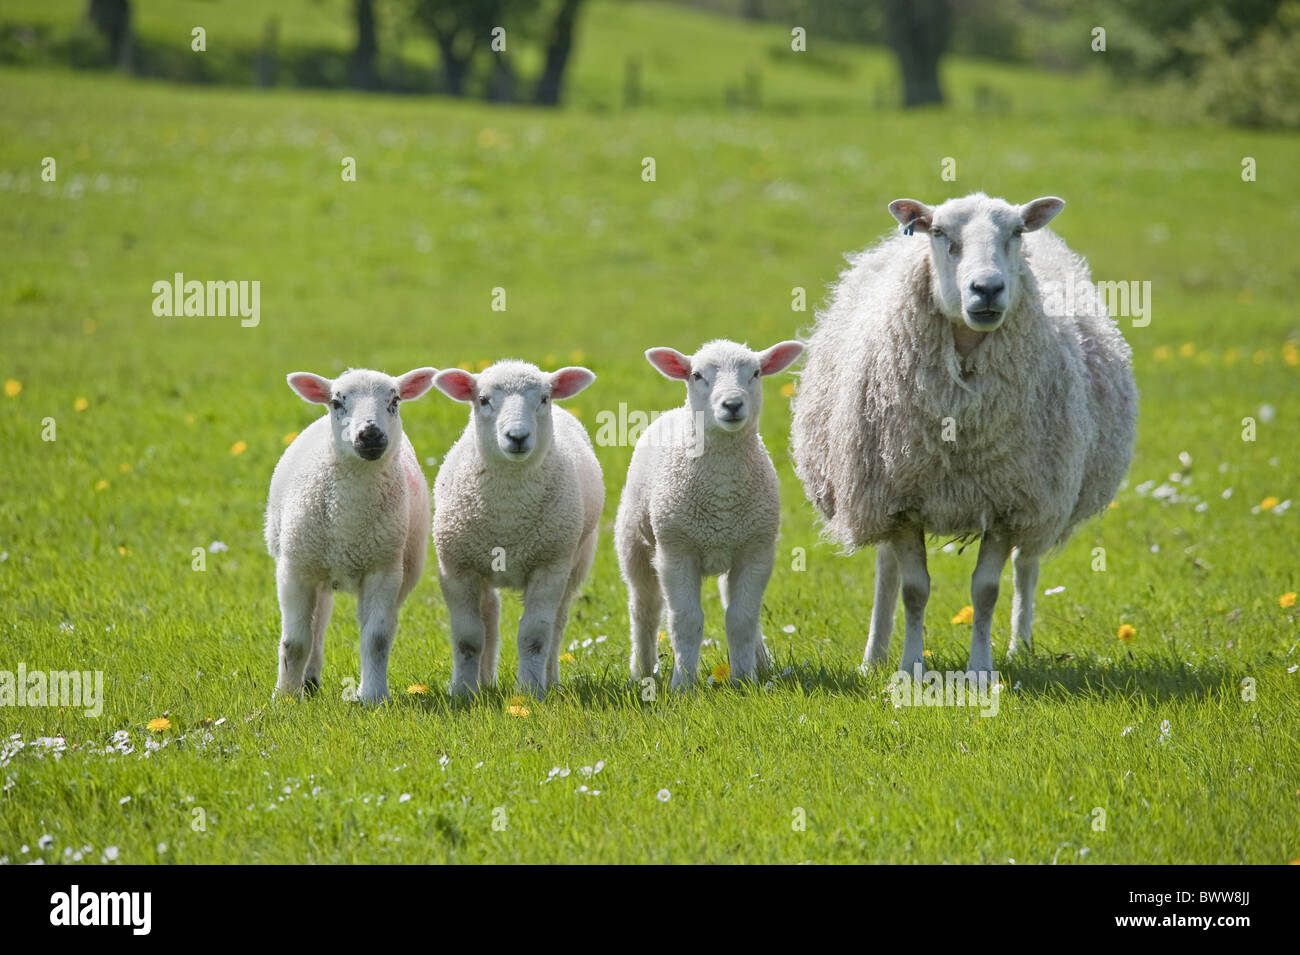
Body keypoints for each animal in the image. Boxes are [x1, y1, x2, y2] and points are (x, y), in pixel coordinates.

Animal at [265, 366, 438, 704]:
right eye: (336, 402)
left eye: (395, 400)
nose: (369, 434)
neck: (349, 520)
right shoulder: (295, 569)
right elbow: (295, 641)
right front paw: (286, 698)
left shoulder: (383, 570)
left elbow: (377, 638)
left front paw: (373, 697)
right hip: (313, 560)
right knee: (317, 623)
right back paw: (308, 681)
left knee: (382, 624)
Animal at [431, 360, 603, 698]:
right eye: (483, 400)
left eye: (544, 399)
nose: (518, 436)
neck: (508, 515)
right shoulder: (456, 567)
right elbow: (468, 637)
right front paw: (463, 692)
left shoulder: (549, 564)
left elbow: (535, 635)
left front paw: (530, 691)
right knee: (489, 615)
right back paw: (483, 681)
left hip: (576, 560)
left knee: (557, 625)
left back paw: (551, 680)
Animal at [615, 338, 805, 691]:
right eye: (697, 375)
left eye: (756, 373)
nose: (732, 404)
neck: (722, 494)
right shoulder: (676, 551)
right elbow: (686, 621)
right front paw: (682, 686)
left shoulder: (756, 551)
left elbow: (741, 618)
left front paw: (745, 682)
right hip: (635, 544)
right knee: (644, 609)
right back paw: (644, 671)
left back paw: (760, 661)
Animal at [790, 192, 1137, 677]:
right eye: (939, 233)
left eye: (1015, 233)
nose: (987, 289)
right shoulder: (900, 501)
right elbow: (914, 589)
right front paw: (909, 667)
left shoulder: (1009, 502)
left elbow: (986, 591)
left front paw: (980, 670)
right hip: (876, 492)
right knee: (886, 571)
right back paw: (874, 656)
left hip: (1045, 492)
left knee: (1027, 564)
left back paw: (1019, 646)